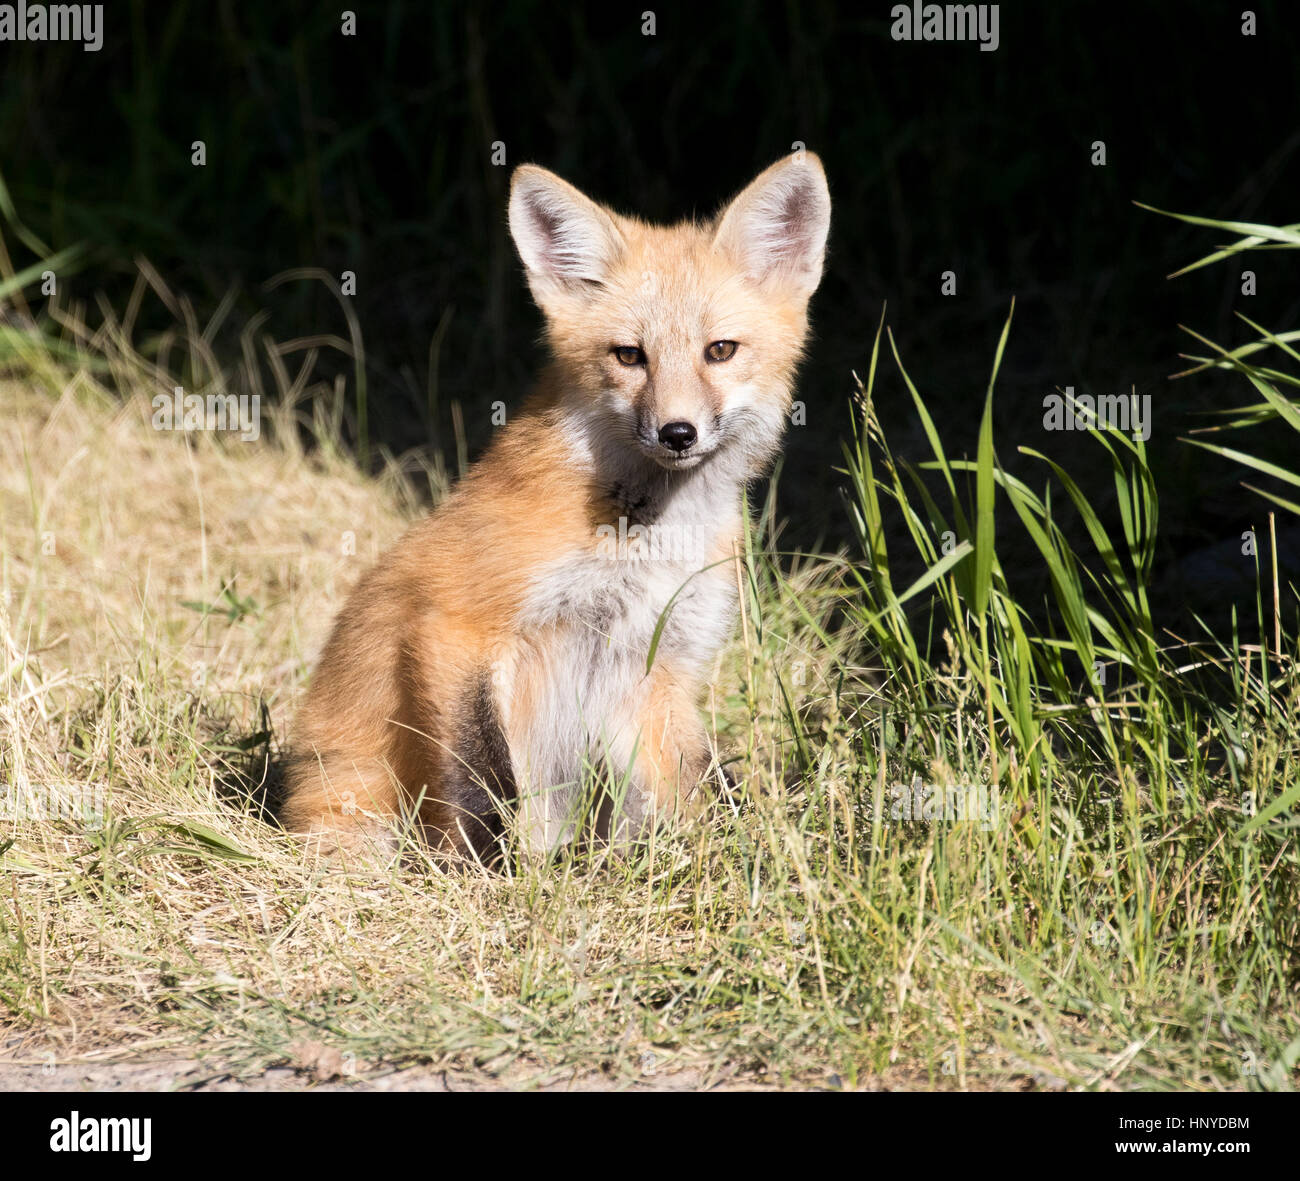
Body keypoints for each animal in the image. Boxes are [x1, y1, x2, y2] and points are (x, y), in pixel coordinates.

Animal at [282, 151, 831, 862]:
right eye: (629, 356)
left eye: (720, 350)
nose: (677, 433)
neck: (646, 539)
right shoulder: (452, 621)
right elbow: (482, 783)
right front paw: (494, 872)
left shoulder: (656, 668)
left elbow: (688, 790)